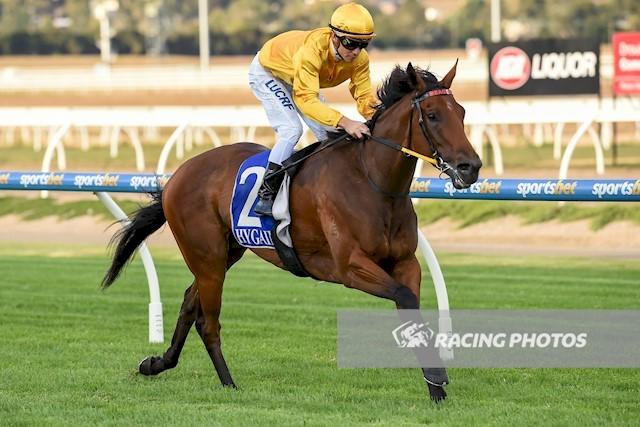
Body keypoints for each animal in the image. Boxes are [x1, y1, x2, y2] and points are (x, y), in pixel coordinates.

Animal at [101, 61, 482, 402]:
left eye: (461, 112)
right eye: (432, 114)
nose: (471, 167)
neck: (372, 181)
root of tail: (178, 175)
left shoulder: (405, 262)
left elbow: (411, 303)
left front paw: (435, 386)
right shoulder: (349, 266)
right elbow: (404, 297)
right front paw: (437, 378)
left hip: (224, 254)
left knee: (189, 303)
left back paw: (157, 363)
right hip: (206, 256)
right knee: (207, 321)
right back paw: (229, 385)